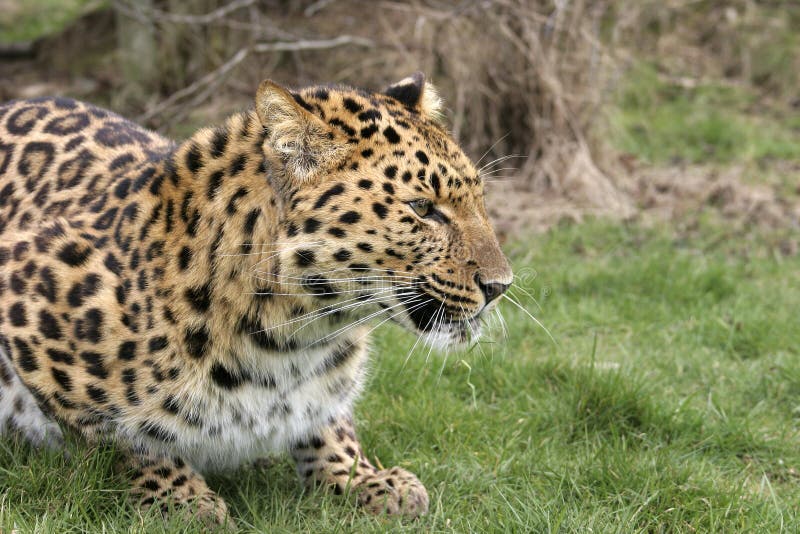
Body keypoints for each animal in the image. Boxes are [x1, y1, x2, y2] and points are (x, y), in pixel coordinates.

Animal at [0, 72, 512, 525]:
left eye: (480, 200)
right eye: (423, 208)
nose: (501, 285)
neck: (293, 336)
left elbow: (330, 420)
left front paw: (362, 477)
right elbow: (120, 435)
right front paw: (180, 497)